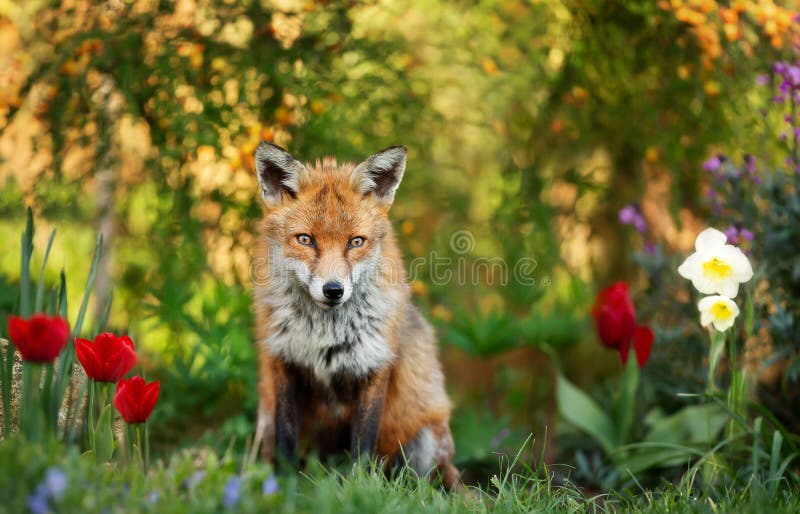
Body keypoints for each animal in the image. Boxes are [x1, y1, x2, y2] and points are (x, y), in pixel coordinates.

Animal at [250, 141, 459, 488]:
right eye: (305, 239)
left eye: (355, 242)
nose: (333, 290)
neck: (323, 336)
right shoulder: (284, 365)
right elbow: (287, 444)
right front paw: (285, 489)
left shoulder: (374, 368)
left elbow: (362, 449)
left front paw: (358, 489)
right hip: (265, 421)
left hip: (424, 443)